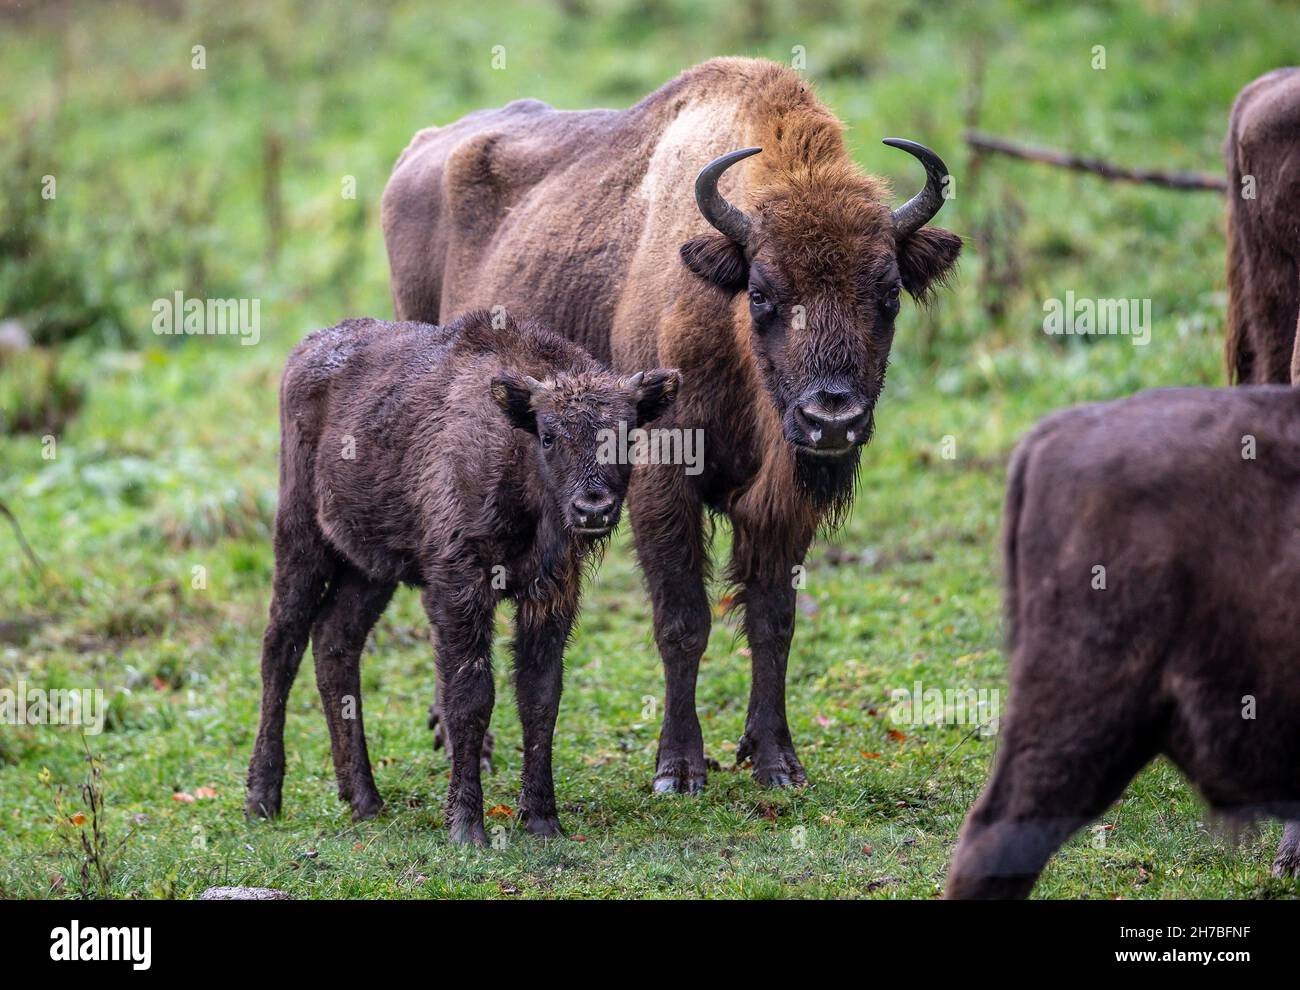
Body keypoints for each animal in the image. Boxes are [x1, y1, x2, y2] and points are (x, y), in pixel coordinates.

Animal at [382, 57, 961, 792]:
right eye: (762, 294)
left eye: (887, 295)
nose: (832, 418)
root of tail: (422, 150)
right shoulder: (663, 482)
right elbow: (683, 620)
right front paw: (679, 768)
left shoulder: (781, 504)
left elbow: (772, 619)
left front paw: (775, 761)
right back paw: (470, 747)